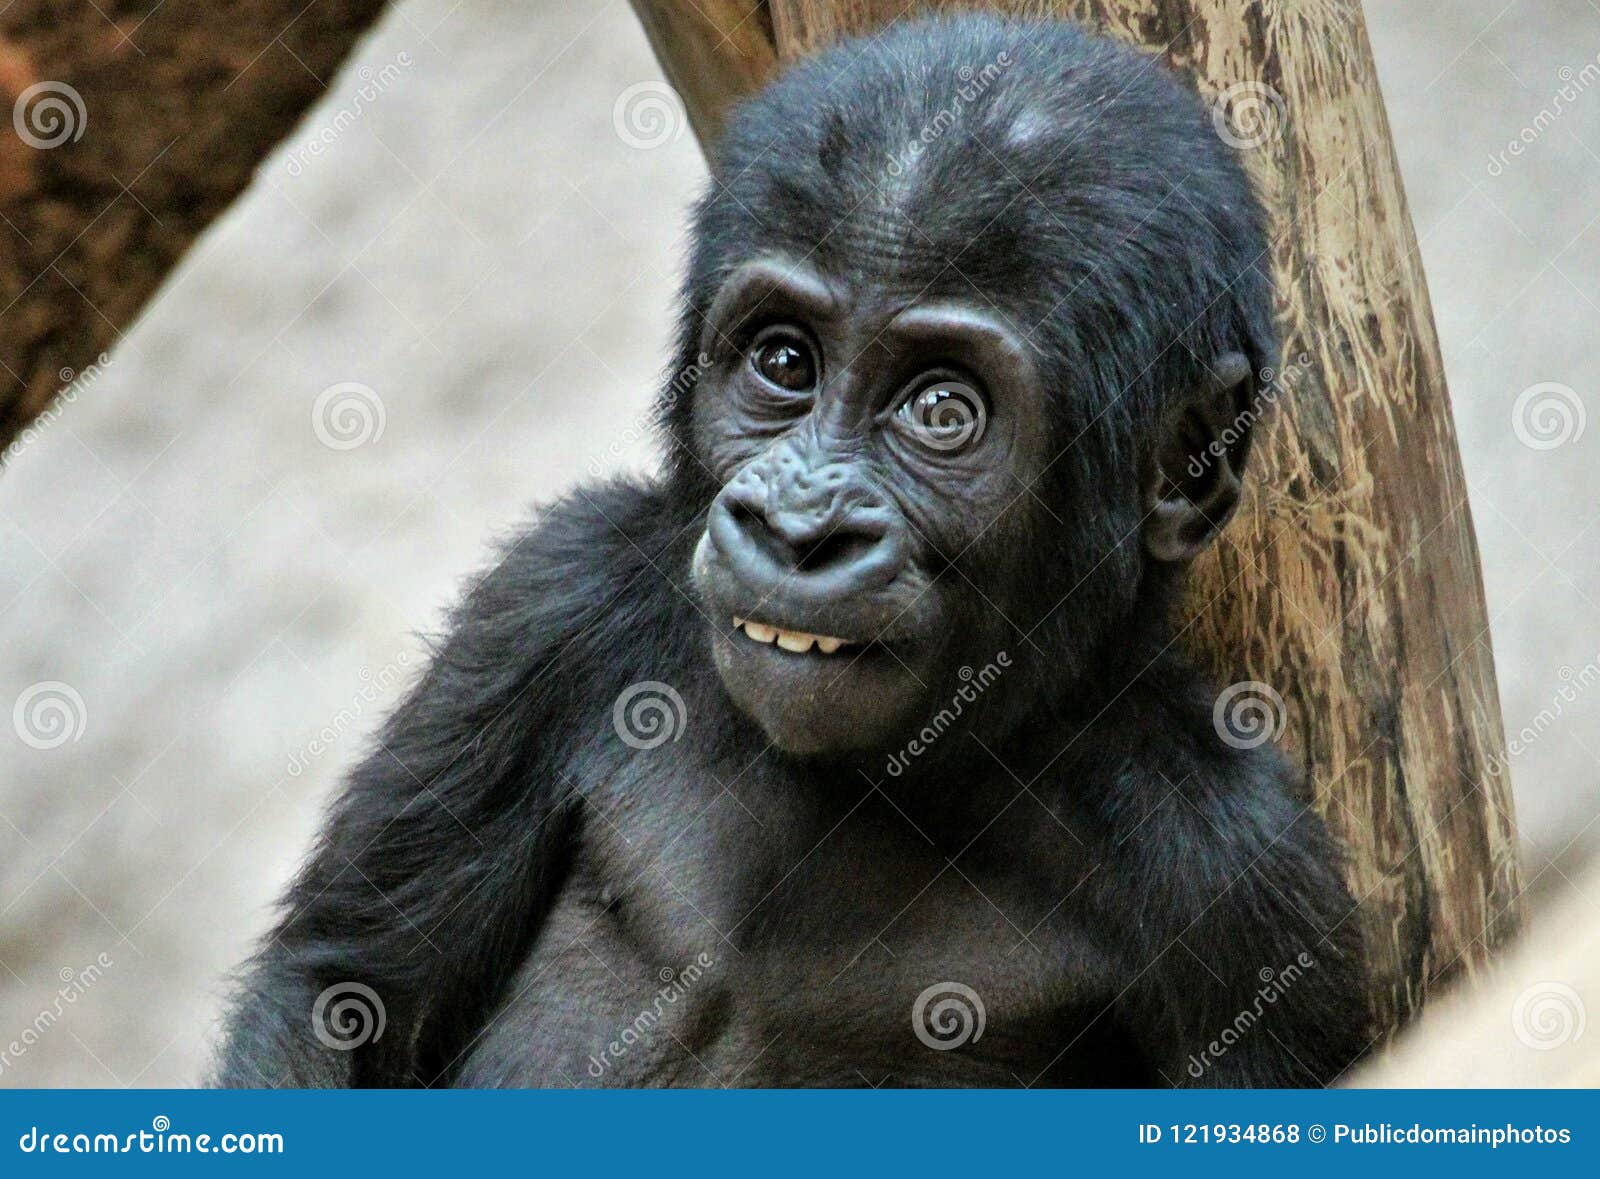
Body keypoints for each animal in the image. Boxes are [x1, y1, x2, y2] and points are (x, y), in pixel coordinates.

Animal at [216, 13, 1370, 1089]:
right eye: (784, 362)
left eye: (942, 411)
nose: (798, 528)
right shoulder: (553, 602)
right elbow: (345, 990)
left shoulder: (1239, 877)